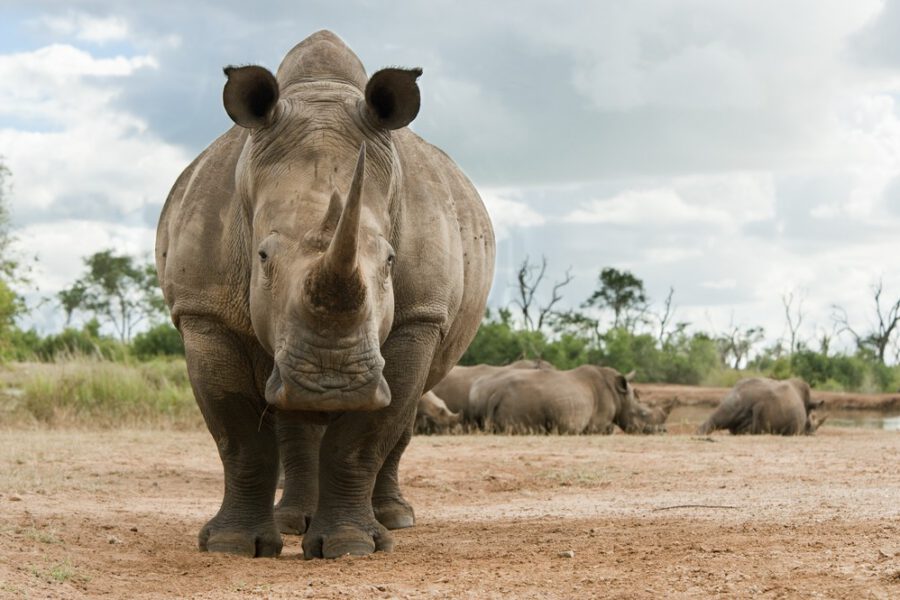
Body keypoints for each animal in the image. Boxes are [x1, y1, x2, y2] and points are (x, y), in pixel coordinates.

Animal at [156, 31, 494, 559]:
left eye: (391, 262)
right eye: (263, 257)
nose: (334, 382)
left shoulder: (420, 317)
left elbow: (366, 436)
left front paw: (351, 545)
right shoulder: (204, 312)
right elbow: (238, 435)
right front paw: (233, 546)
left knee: (403, 415)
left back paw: (394, 520)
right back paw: (294, 521)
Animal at [467, 365, 671, 434]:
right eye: (642, 414)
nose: (663, 431)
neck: (620, 396)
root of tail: (495, 393)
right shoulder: (597, 424)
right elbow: (606, 429)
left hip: (478, 395)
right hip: (519, 399)